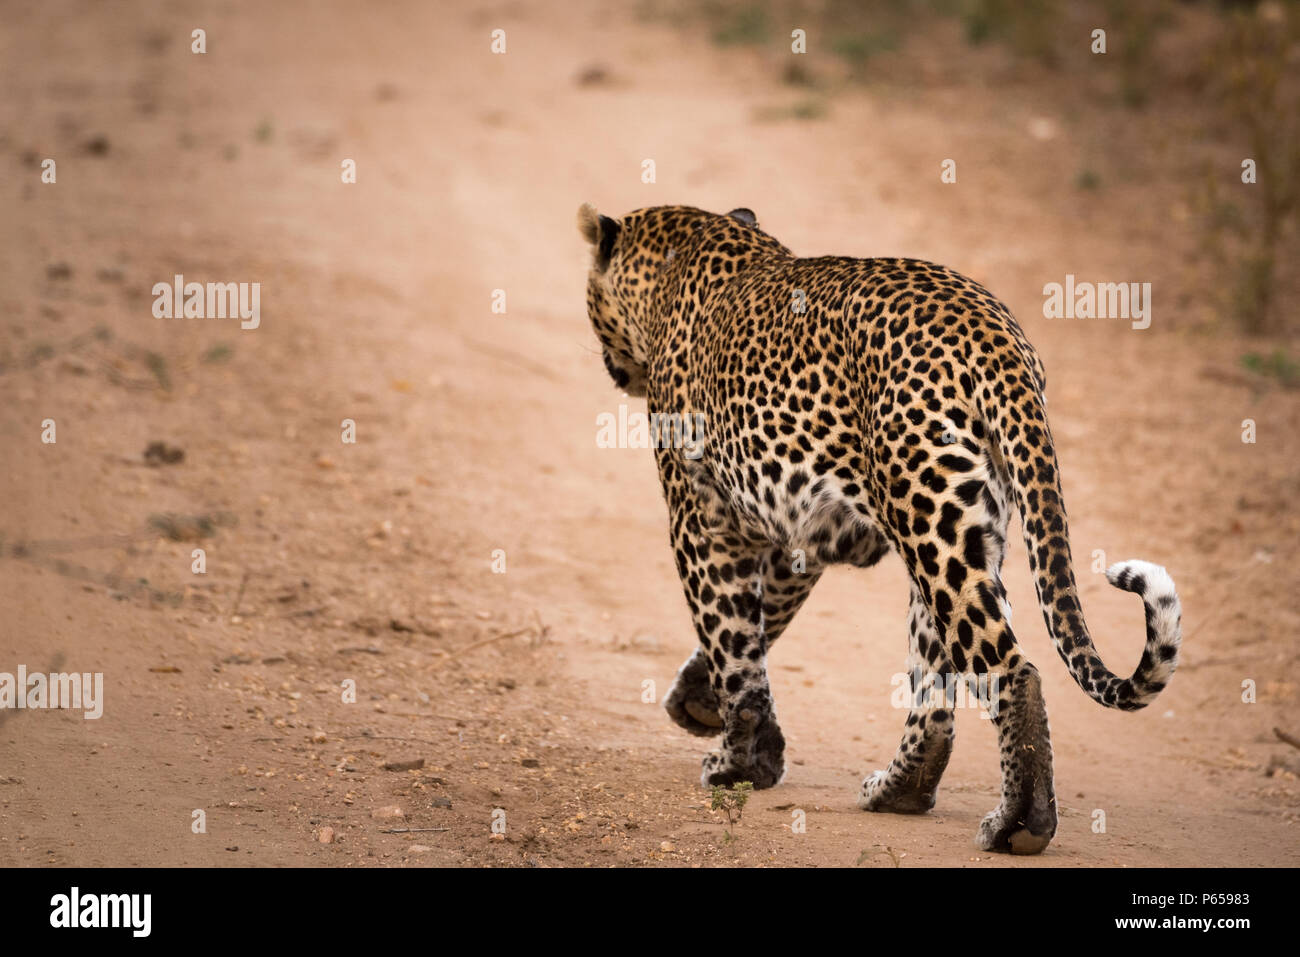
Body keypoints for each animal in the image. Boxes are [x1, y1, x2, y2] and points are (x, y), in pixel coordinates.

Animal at [577, 202, 1182, 855]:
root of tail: (993, 332)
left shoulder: (704, 518)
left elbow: (732, 638)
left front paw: (740, 764)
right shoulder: (804, 537)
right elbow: (759, 628)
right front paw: (705, 703)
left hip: (930, 522)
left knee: (1012, 673)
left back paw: (1018, 824)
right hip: (961, 529)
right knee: (936, 699)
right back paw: (899, 793)